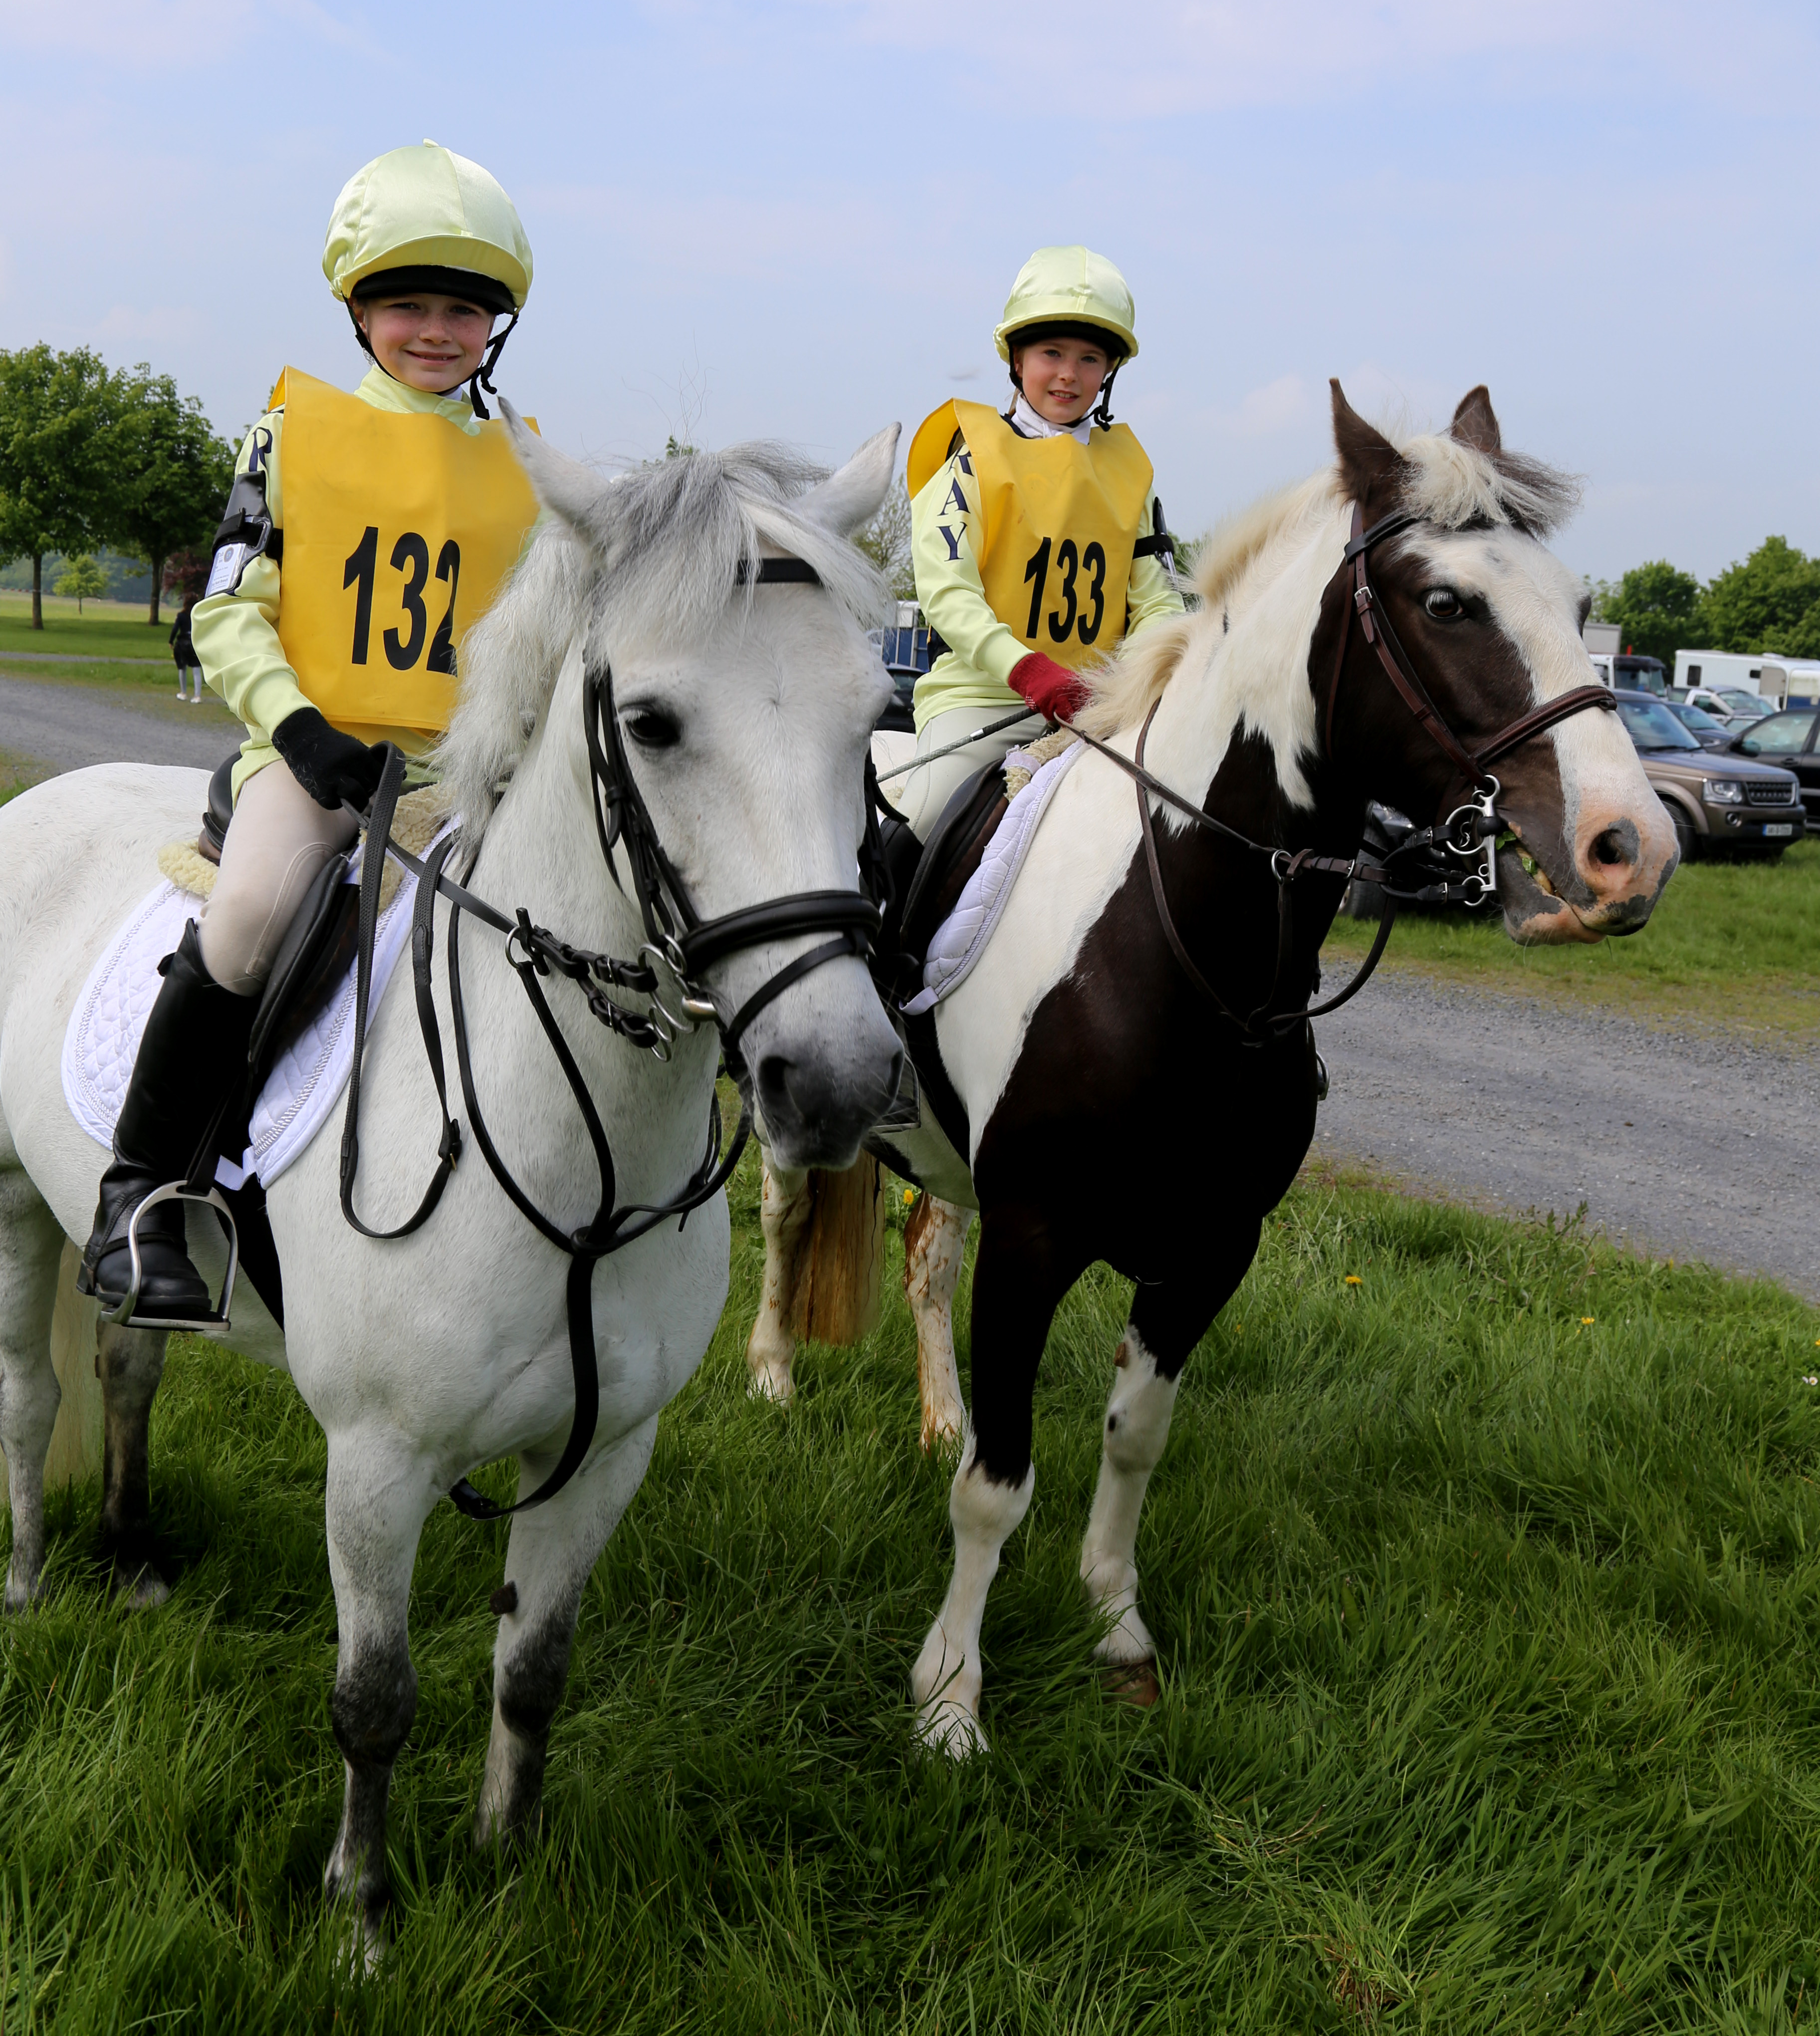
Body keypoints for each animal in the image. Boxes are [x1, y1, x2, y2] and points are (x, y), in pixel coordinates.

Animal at [0, 419, 905, 1941]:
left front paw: (508, 1862)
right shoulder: (378, 1463)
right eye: (651, 722)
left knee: (128, 1359)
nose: (834, 1080)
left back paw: (129, 1555)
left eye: (872, 722)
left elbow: (532, 1670)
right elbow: (375, 1698)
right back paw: (28, 1572)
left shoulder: (603, 1454)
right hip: (7, 1207)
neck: (574, 1155)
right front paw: (363, 1911)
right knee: (31, 1393)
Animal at [745, 383, 1679, 1754]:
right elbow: (997, 1485)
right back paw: (770, 1371)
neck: (1186, 945)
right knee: (783, 1213)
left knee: (922, 1257)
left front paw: (1115, 1622)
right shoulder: (1037, 1235)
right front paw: (952, 1695)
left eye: (1575, 604)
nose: (1632, 847)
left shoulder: (1209, 1246)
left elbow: (1135, 1436)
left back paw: (934, 1410)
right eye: (1446, 603)